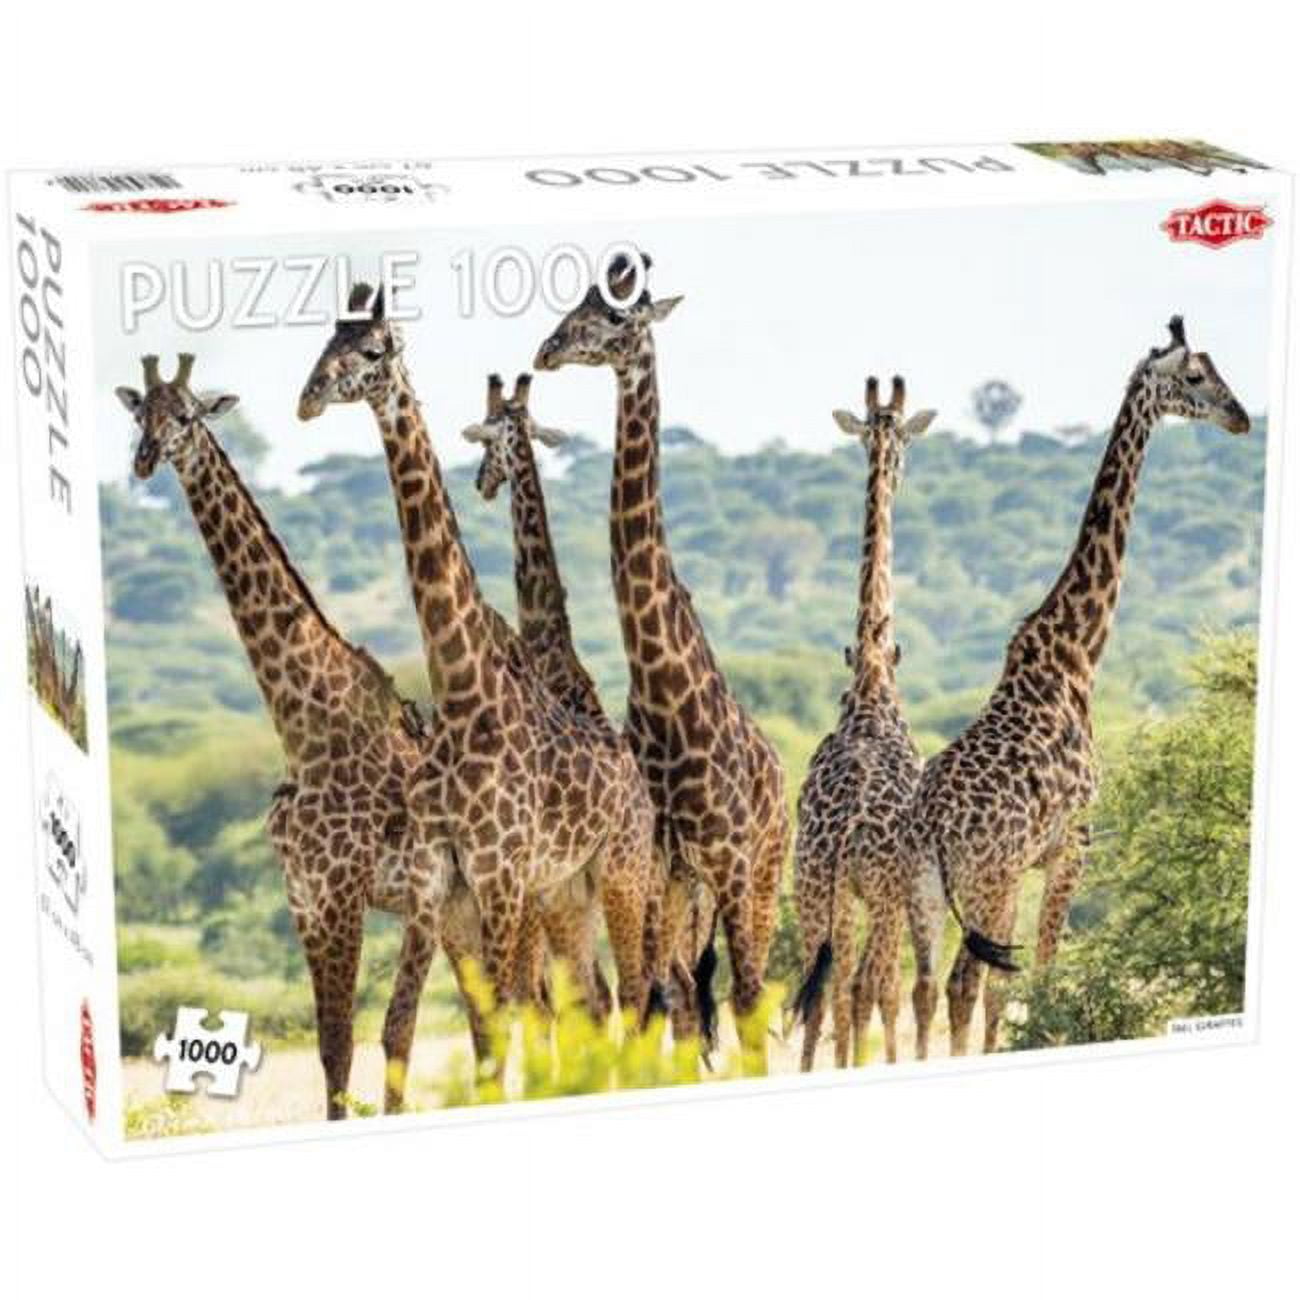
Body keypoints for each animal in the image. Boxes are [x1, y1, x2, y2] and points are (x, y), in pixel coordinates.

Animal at [114, 352, 492, 1119]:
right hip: (462, 920)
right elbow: (331, 1044)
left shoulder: (368, 894)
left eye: (188, 415)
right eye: (141, 415)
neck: (307, 730)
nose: (144, 461)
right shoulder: (307, 899)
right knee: (495, 1017)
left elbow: (383, 1033)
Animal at [298, 287, 662, 1031]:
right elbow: (436, 1019)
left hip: (620, 869)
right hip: (568, 891)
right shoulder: (439, 874)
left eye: (371, 350)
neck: (465, 693)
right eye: (326, 340)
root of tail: (637, 783)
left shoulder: (500, 871)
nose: (308, 398)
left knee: (636, 992)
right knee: (594, 997)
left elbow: (508, 1008)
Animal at [534, 252, 791, 1060]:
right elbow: (654, 1001)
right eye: (573, 308)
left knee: (751, 989)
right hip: (685, 889)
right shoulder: (657, 864)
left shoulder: (730, 859)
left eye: (615, 316)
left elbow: (741, 998)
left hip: (764, 872)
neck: (660, 688)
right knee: (677, 992)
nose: (546, 350)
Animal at [904, 317, 1250, 1058]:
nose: (1240, 417)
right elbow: (1041, 974)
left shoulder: (1035, 861)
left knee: (921, 987)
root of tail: (934, 827)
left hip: (922, 888)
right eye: (1197, 376)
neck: (1076, 654)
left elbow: (1008, 989)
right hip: (986, 878)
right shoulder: (1073, 846)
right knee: (959, 985)